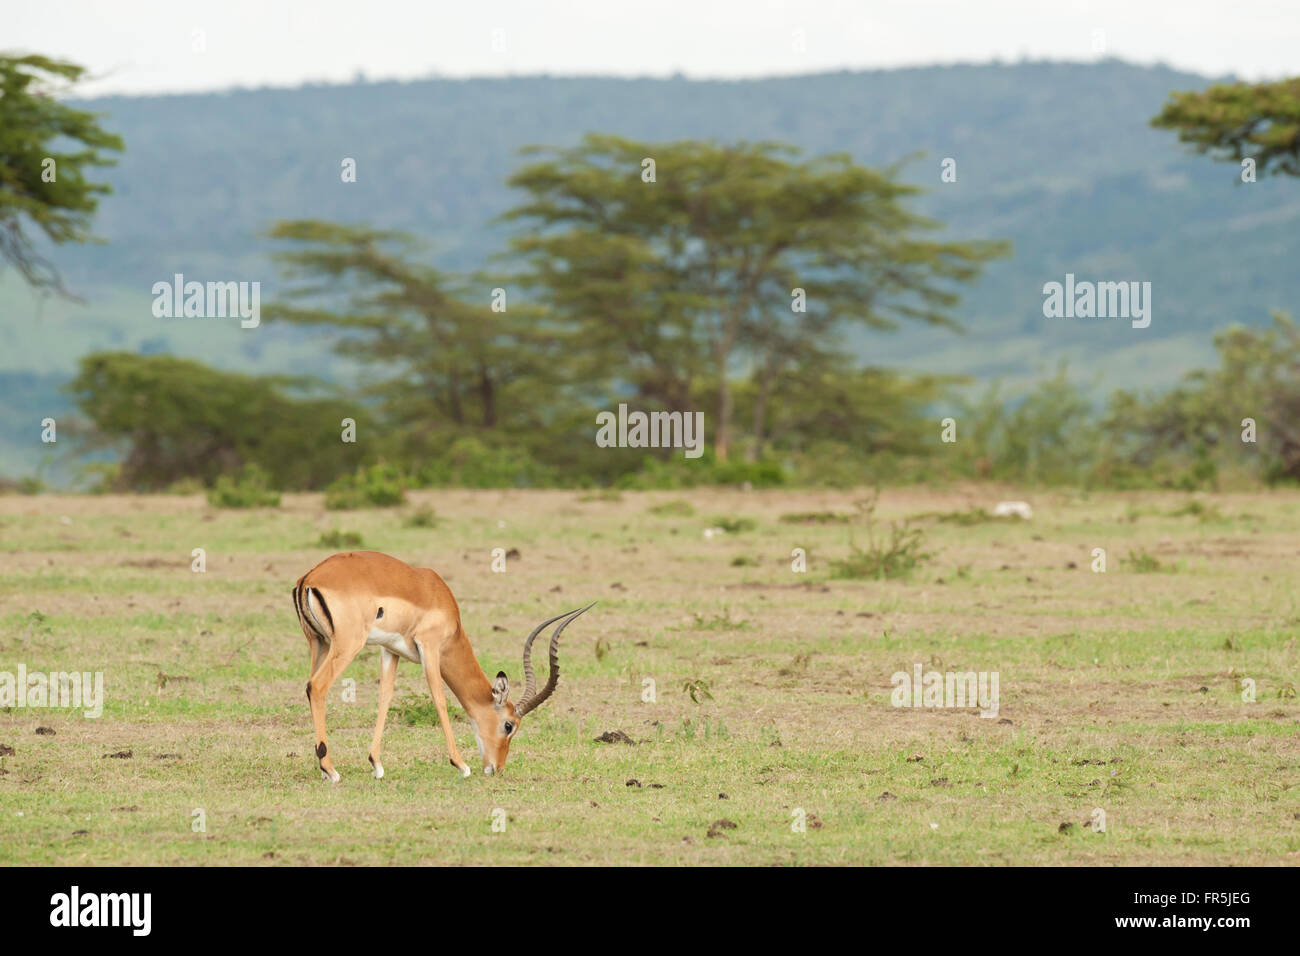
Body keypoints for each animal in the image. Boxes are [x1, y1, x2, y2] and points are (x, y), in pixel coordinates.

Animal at [291, 550, 593, 781]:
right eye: (509, 725)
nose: (496, 768)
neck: (439, 597)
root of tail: (311, 577)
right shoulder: (430, 647)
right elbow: (440, 699)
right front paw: (461, 765)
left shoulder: (390, 651)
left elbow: (385, 697)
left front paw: (376, 765)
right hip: (347, 645)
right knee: (317, 686)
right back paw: (330, 770)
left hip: (319, 644)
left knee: (310, 687)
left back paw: (323, 767)